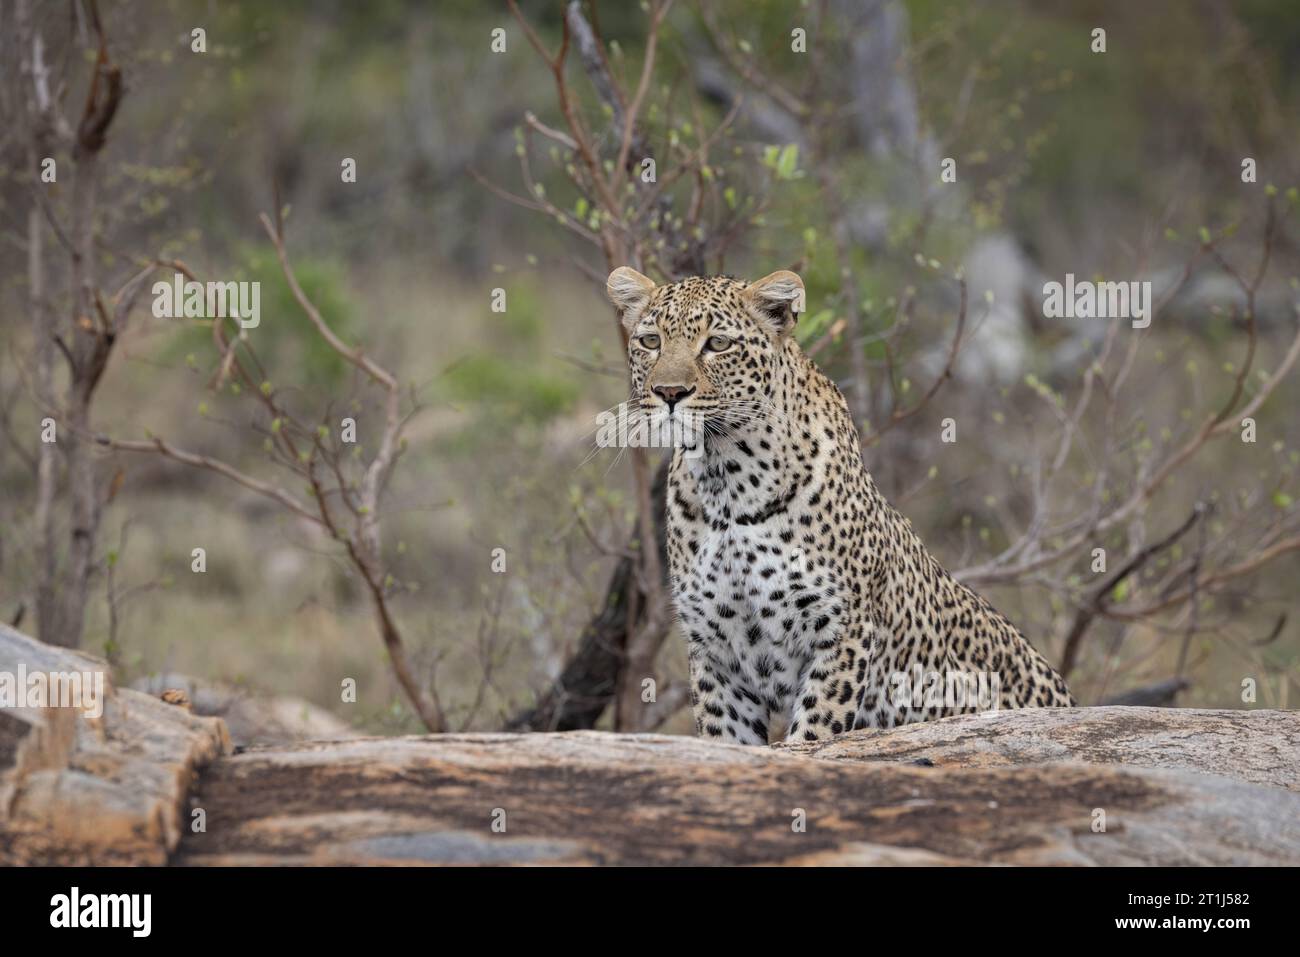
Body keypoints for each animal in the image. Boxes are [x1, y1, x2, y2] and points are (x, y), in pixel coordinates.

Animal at [606, 266, 1076, 745]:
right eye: (651, 341)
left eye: (718, 344)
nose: (669, 392)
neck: (727, 480)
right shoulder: (715, 652)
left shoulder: (840, 634)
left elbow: (813, 735)